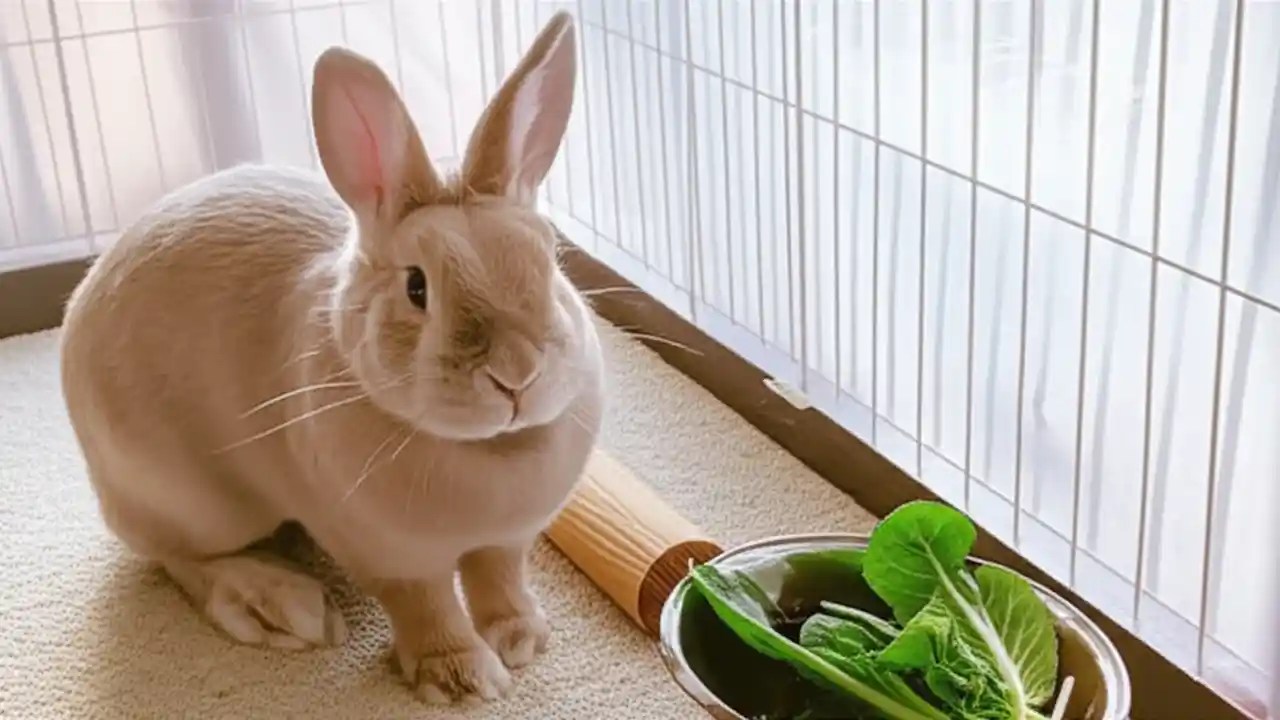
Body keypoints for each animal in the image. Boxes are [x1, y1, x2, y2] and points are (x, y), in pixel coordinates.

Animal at [59, 11, 601, 704]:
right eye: (417, 288)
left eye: (550, 261)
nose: (516, 373)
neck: (492, 448)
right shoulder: (392, 555)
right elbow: (426, 605)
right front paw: (461, 678)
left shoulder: (506, 540)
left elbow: (499, 577)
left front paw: (523, 639)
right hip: (196, 502)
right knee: (178, 557)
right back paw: (278, 604)